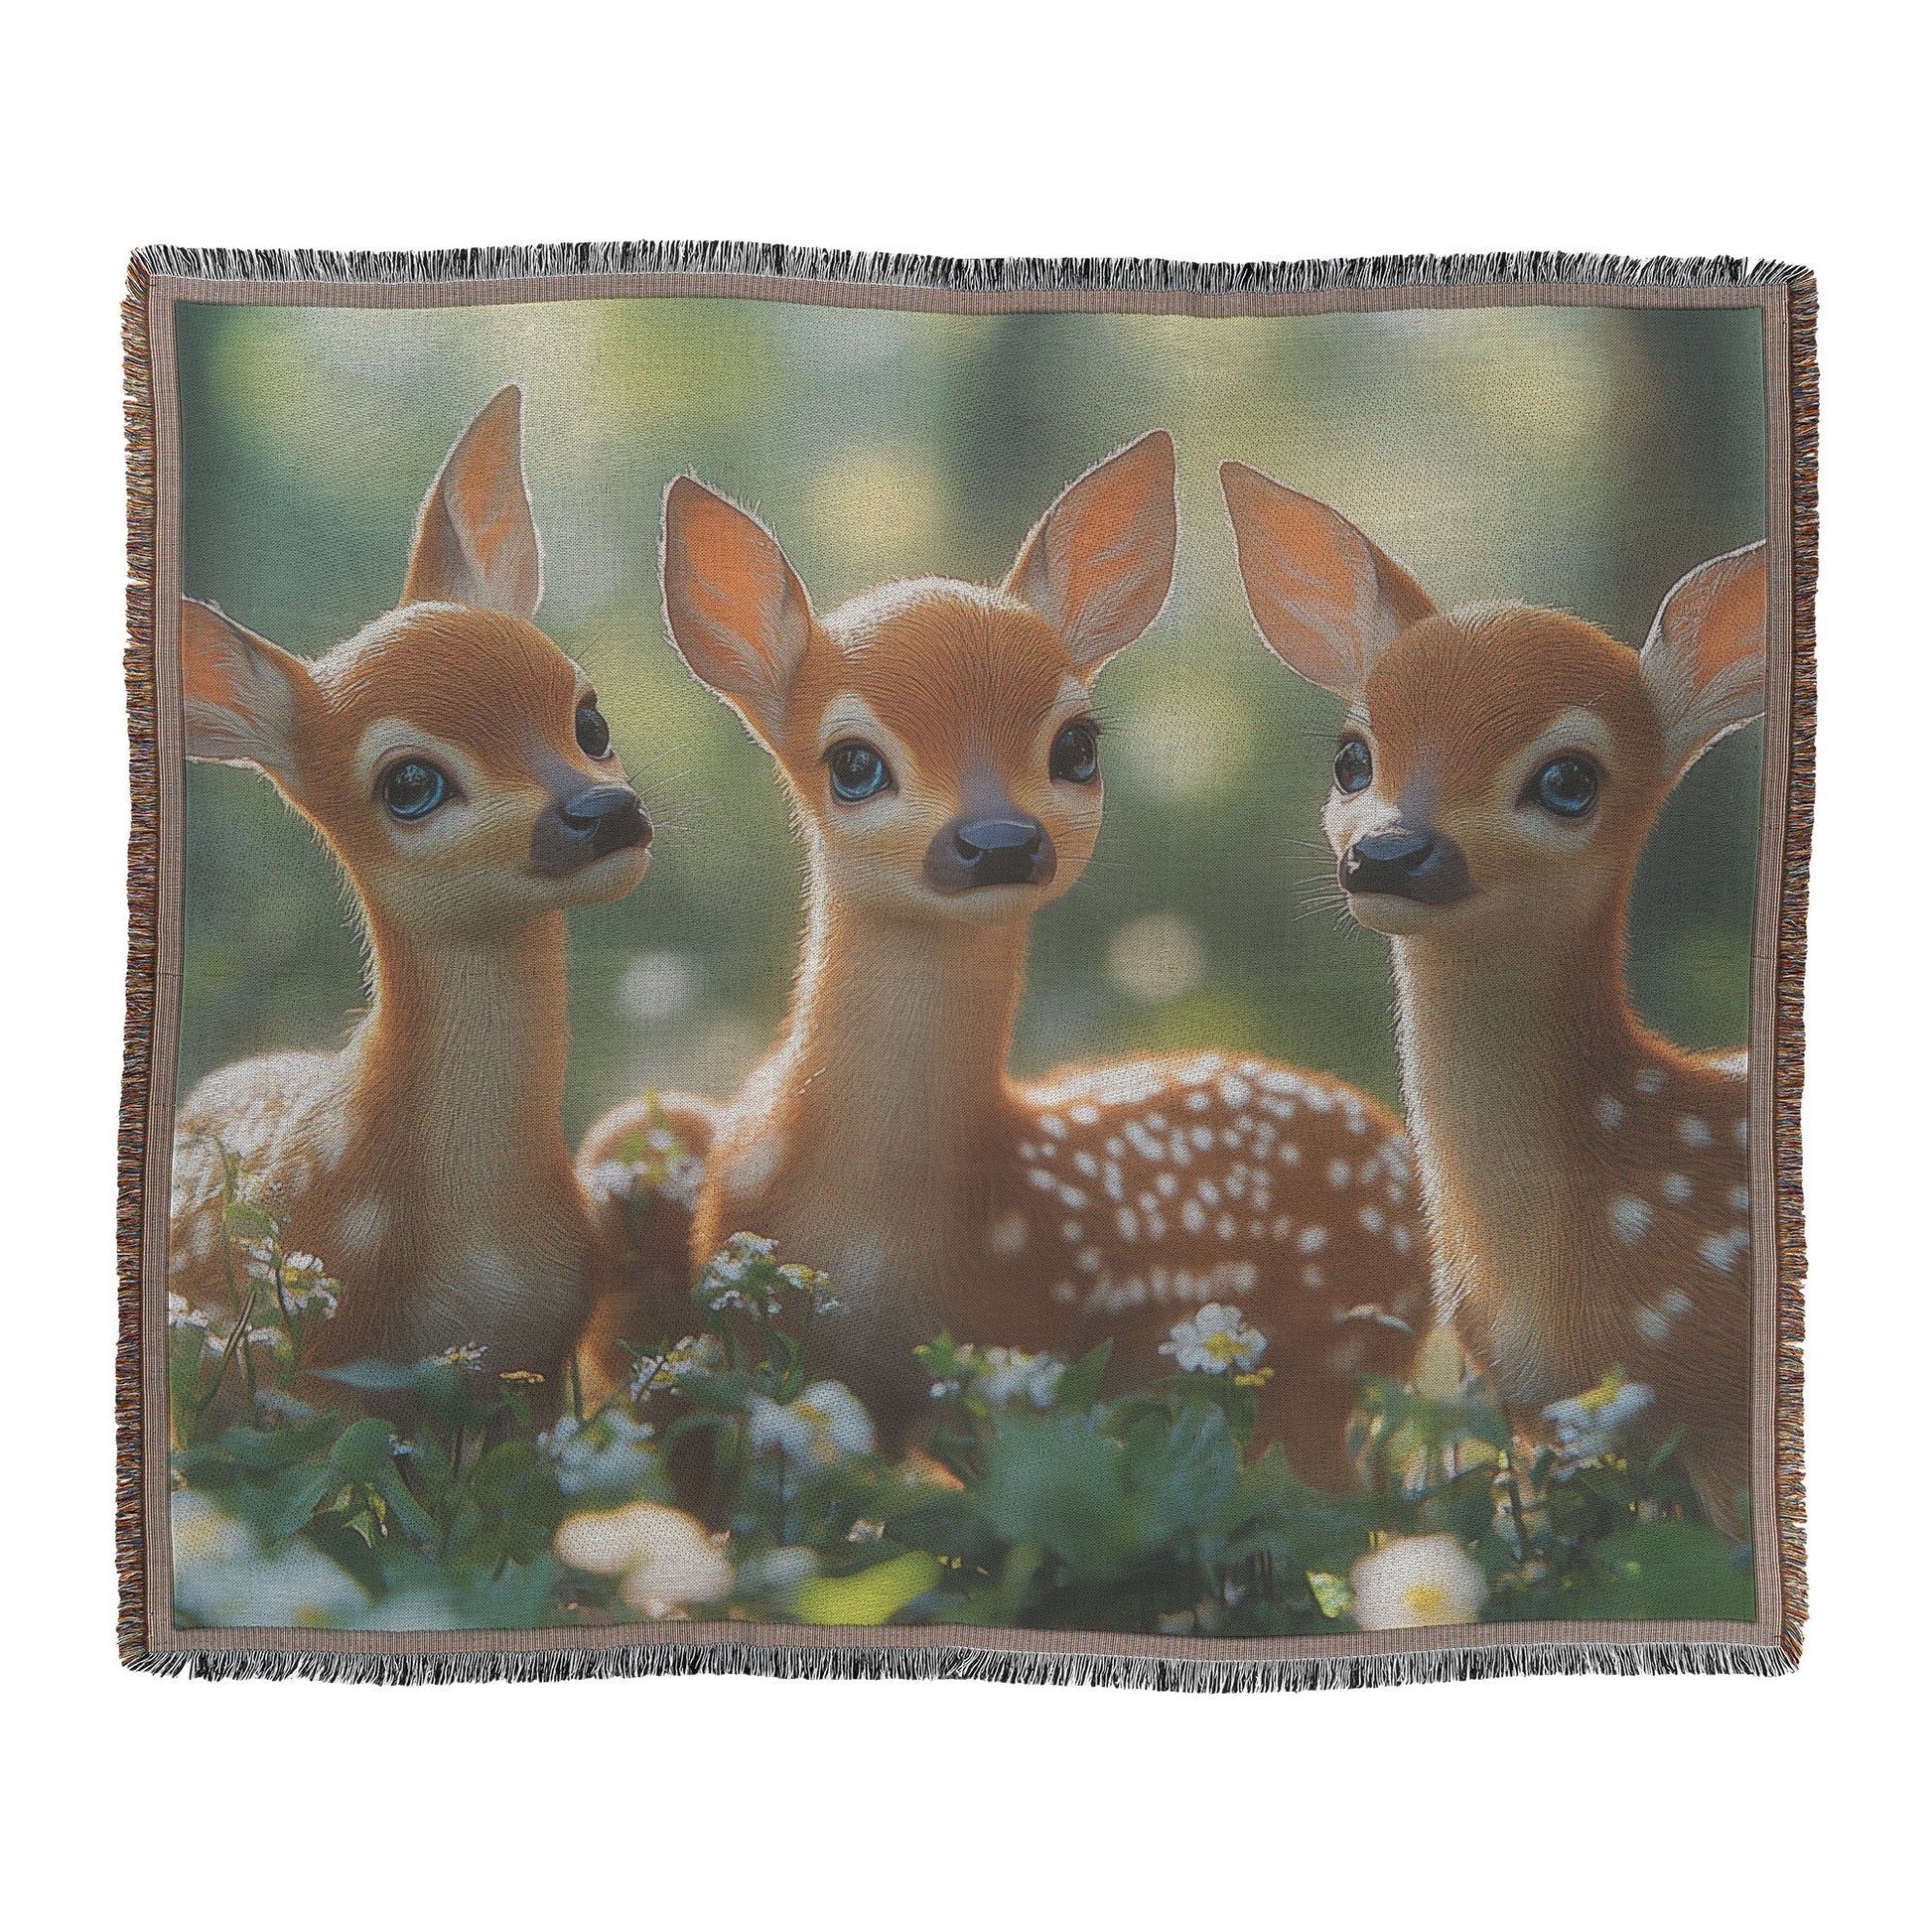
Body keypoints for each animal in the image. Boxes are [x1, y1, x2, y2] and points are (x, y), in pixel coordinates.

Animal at [576, 432, 1431, 1488]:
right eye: (852, 762)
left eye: (1075, 746)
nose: (999, 841)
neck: (886, 1223)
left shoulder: (1009, 1353)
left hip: (1319, 1374)